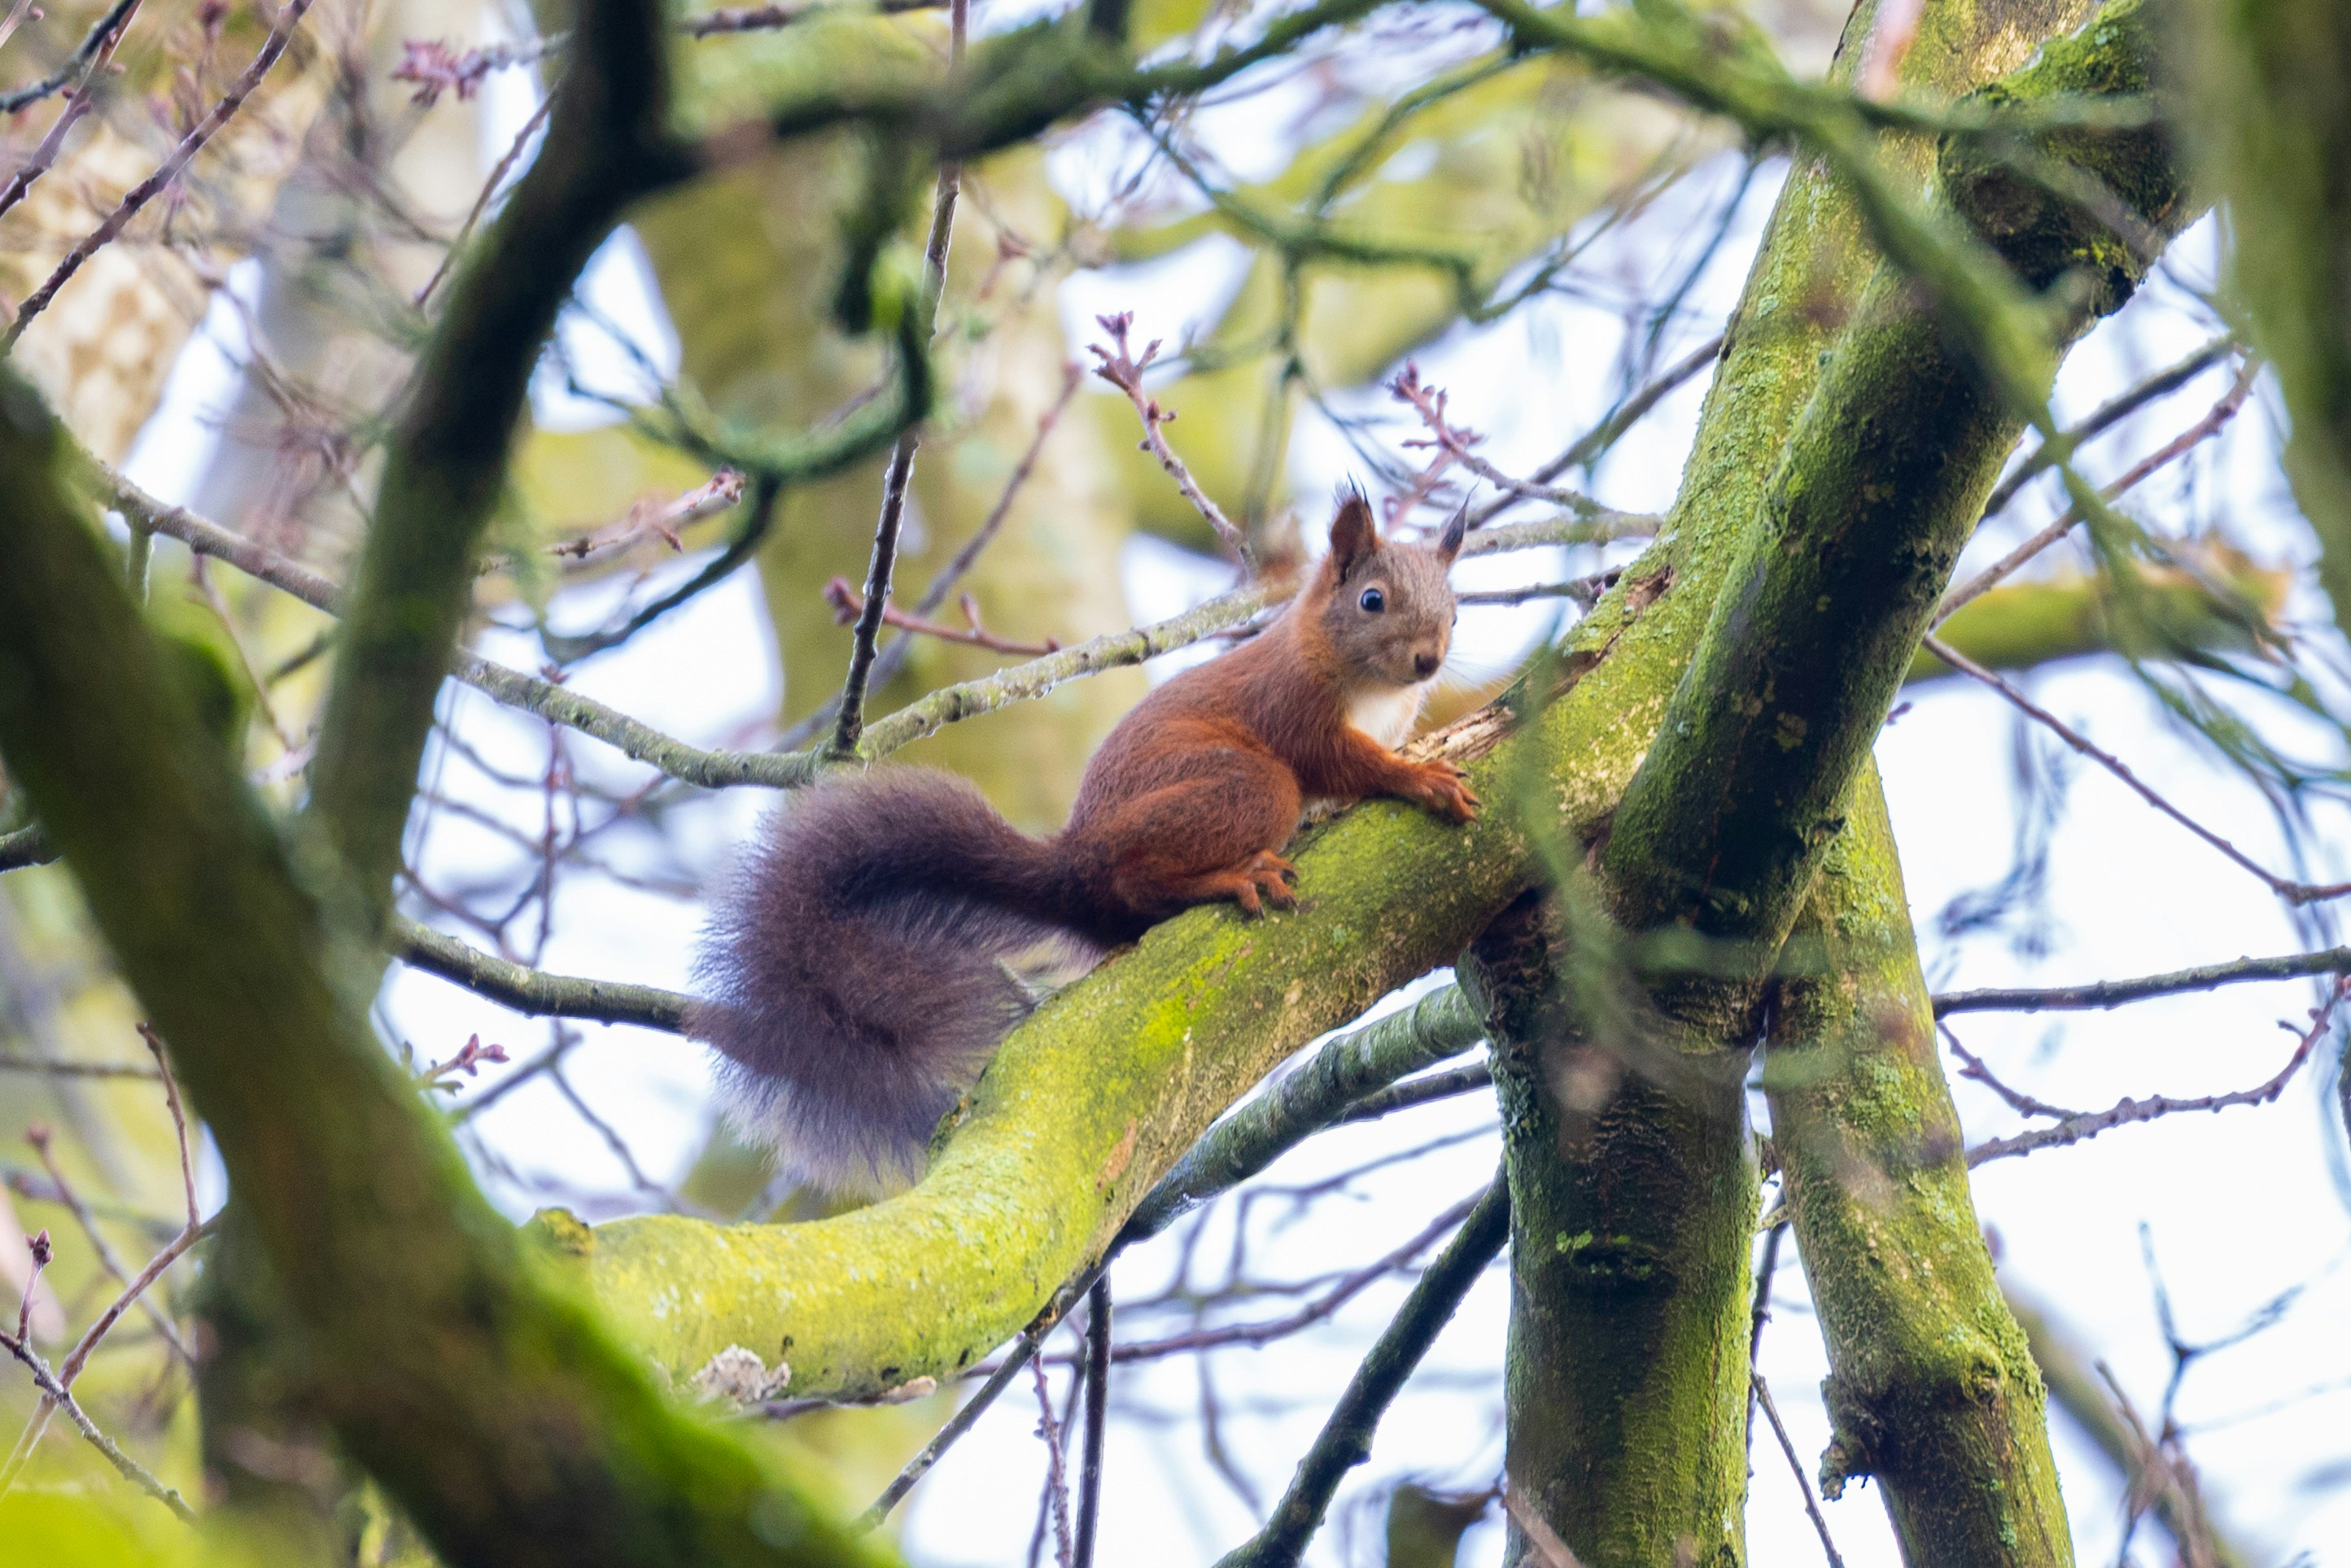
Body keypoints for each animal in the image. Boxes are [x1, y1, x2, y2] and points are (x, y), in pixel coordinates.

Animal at [691, 490, 1480, 1196]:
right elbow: (1347, 764)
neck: (1365, 683)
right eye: (1372, 600)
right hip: (1247, 788)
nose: (1428, 660)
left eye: (1456, 609)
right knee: (1139, 876)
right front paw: (1421, 778)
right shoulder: (1296, 708)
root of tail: (1073, 866)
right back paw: (1228, 876)